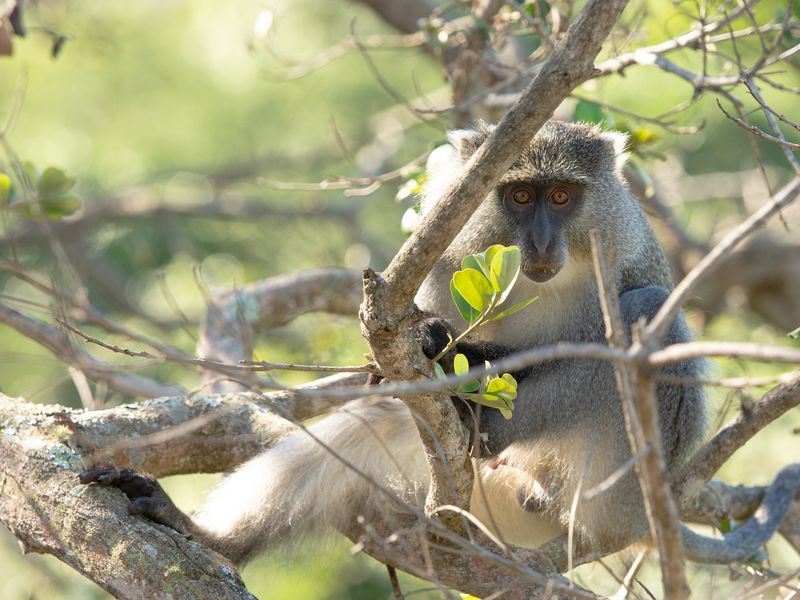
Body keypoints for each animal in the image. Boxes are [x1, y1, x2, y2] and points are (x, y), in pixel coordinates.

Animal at [82, 121, 798, 568]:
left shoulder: (624, 248)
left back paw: (485, 423)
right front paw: (430, 340)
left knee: (647, 319)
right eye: (519, 195)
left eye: (562, 195)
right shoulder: (447, 252)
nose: (541, 243)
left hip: (607, 487)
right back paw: (207, 536)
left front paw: (462, 360)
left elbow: (615, 328)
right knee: (375, 421)